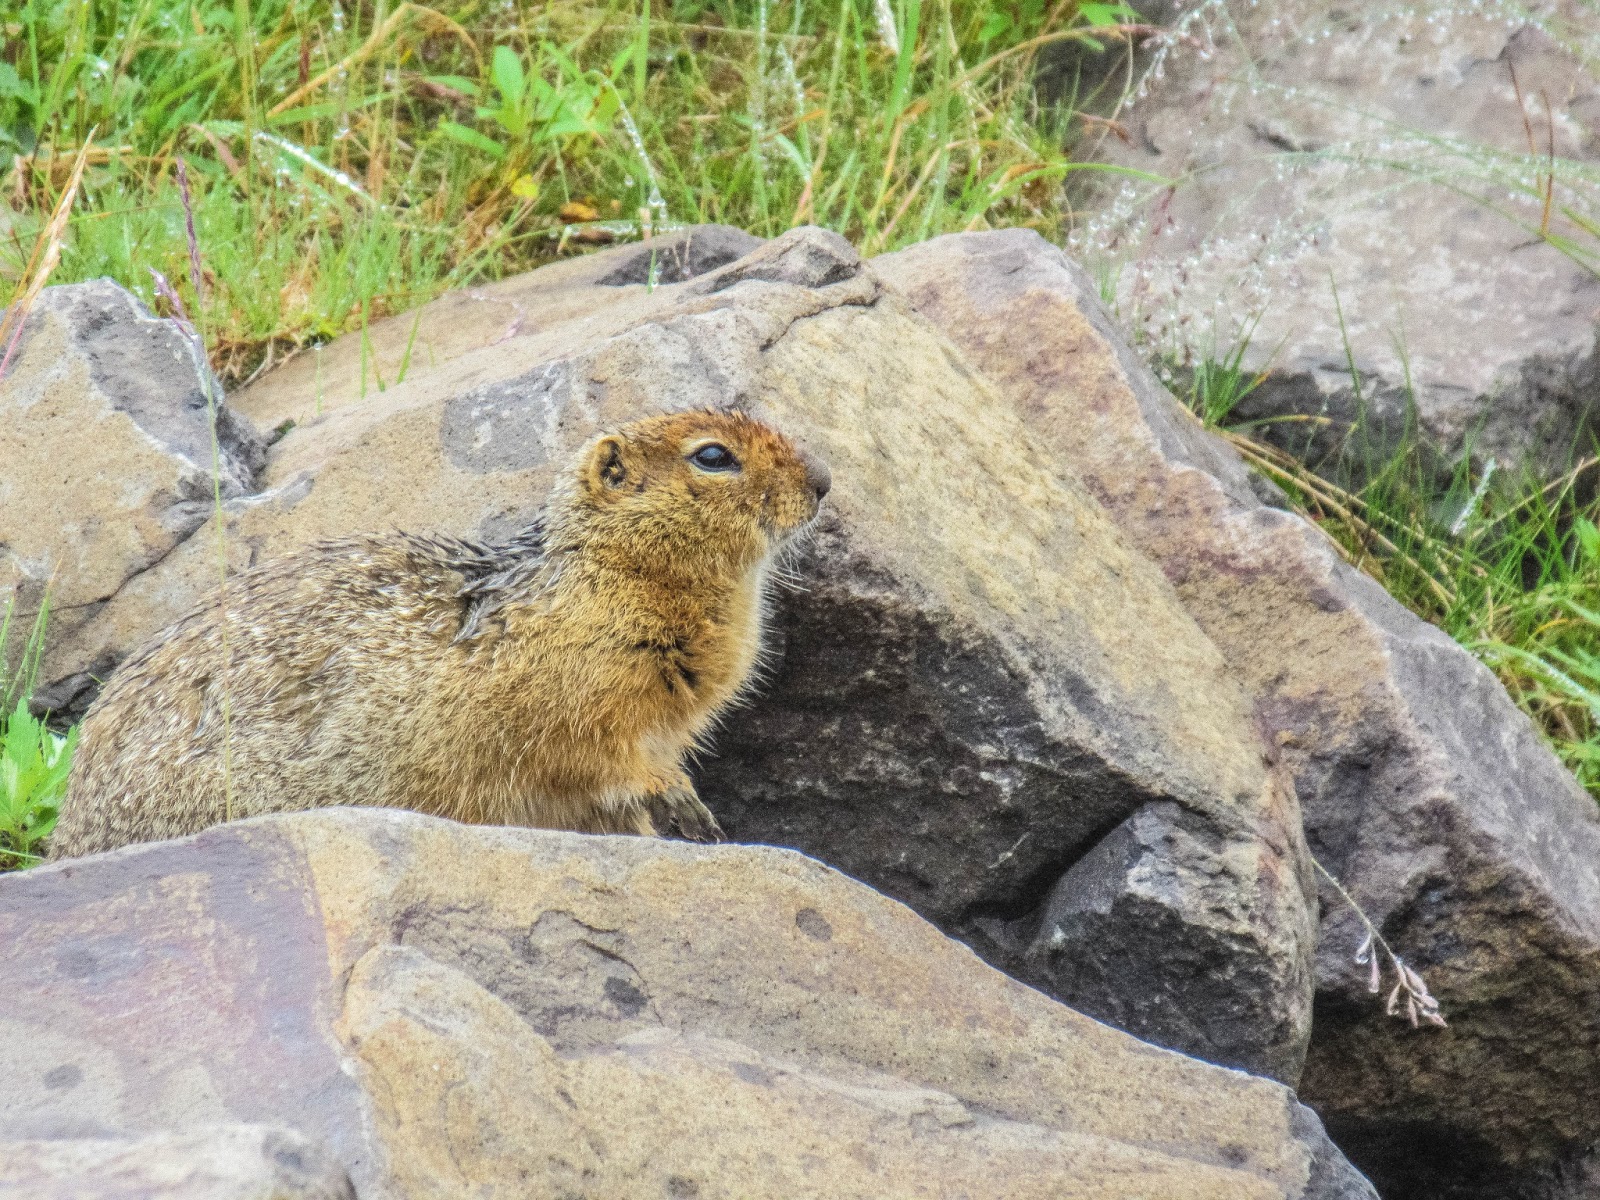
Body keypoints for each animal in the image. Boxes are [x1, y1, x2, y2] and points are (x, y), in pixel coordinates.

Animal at [48, 409, 831, 859]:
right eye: (713, 456)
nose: (823, 480)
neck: (606, 572)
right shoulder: (585, 709)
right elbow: (611, 762)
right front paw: (689, 806)